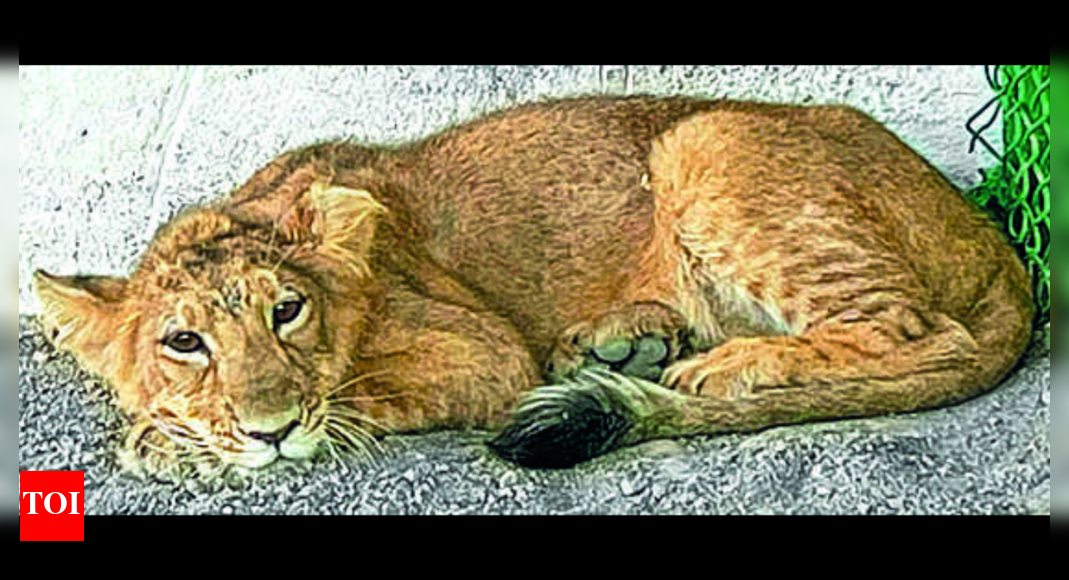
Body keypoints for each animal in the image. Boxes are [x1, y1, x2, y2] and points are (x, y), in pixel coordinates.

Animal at [34, 95, 1033, 476]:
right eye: (184, 341)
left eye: (288, 311)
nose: (269, 432)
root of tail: (996, 243)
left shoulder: (485, 351)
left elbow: (363, 392)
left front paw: (178, 445)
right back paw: (626, 344)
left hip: (703, 141)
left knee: (915, 331)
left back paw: (725, 368)